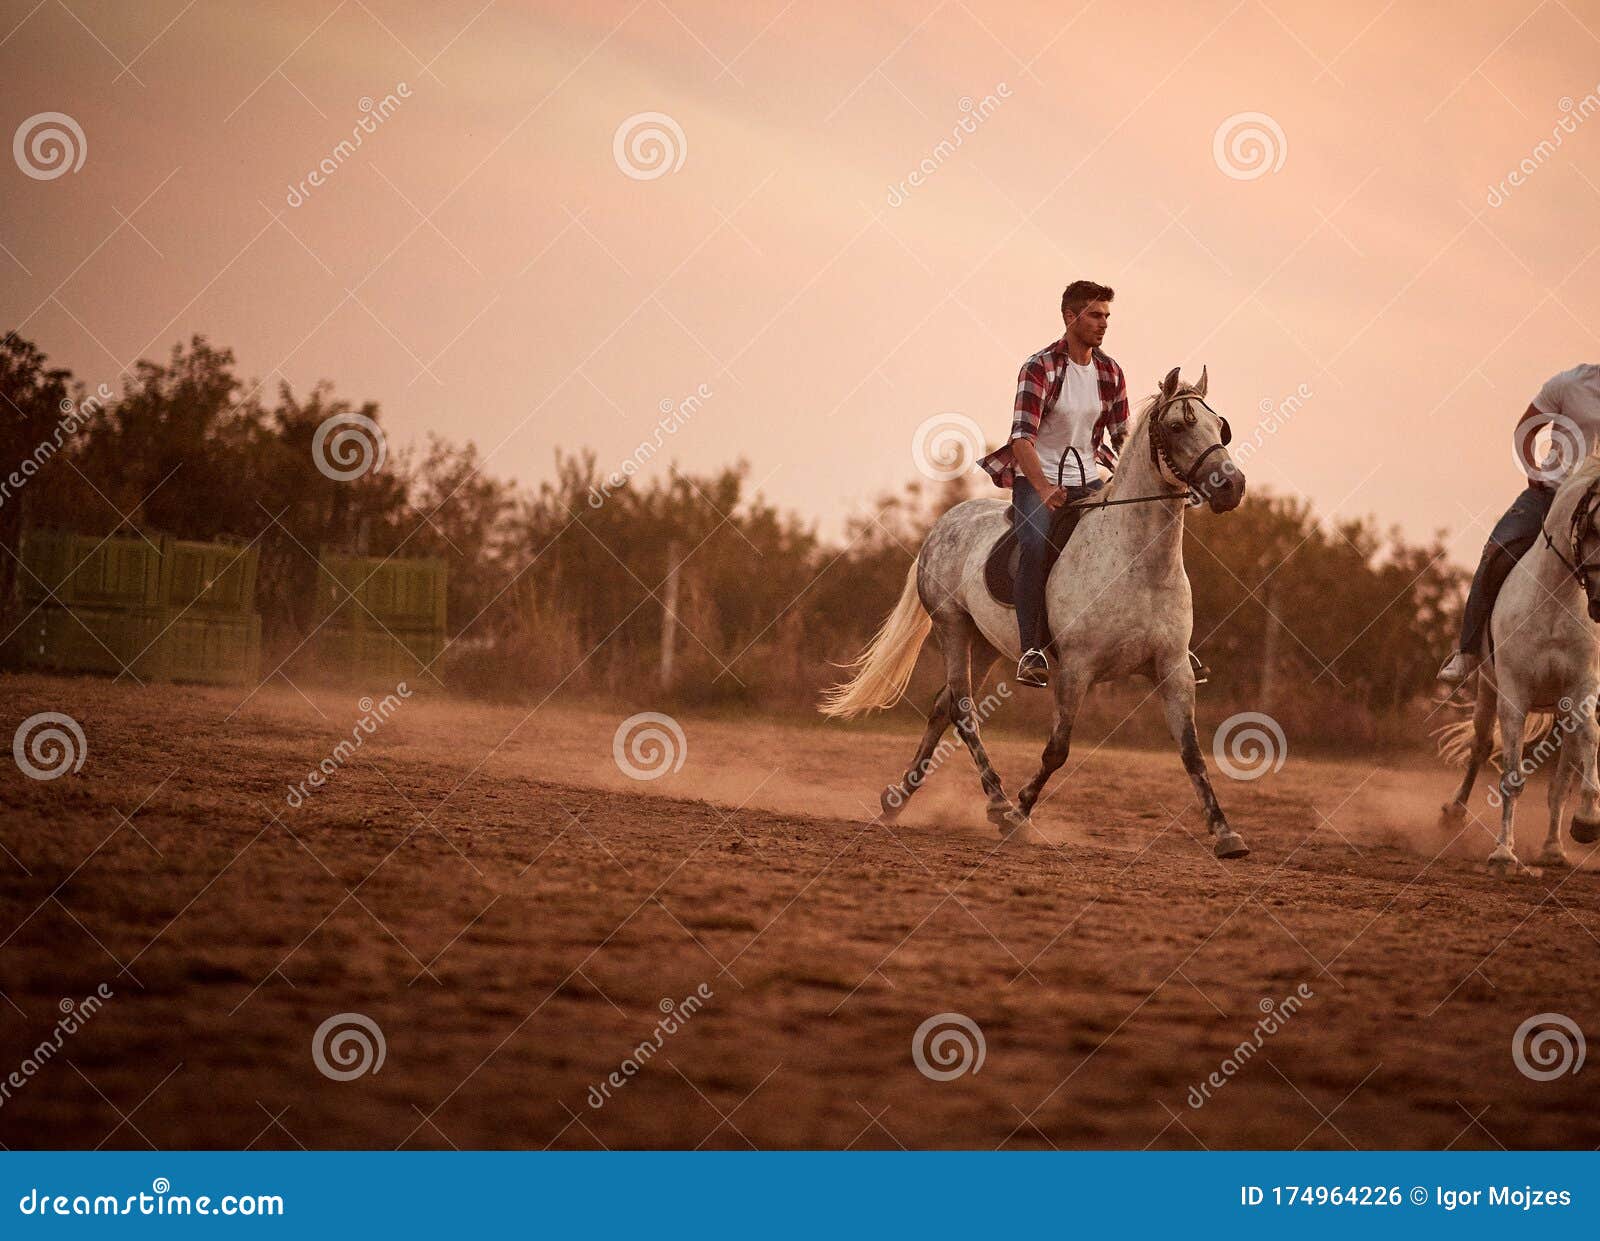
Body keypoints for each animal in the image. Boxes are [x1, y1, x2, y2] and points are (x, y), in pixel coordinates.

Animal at [820, 366, 1249, 858]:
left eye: (1220, 427)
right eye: (1178, 426)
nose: (1232, 486)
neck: (1138, 562)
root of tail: (942, 525)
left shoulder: (1173, 669)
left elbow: (1192, 752)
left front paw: (1225, 834)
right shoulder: (1077, 669)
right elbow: (1057, 750)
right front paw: (1019, 814)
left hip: (985, 643)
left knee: (943, 706)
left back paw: (898, 799)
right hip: (952, 627)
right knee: (963, 710)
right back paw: (996, 800)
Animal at [1439, 456, 1600, 871]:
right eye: (1595, 525)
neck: (1556, 595)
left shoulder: (1582, 690)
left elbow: (1588, 741)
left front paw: (1587, 821)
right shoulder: (1514, 694)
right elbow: (1511, 776)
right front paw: (1502, 853)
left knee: (1560, 780)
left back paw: (1554, 849)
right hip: (1487, 689)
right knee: (1480, 747)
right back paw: (1453, 814)